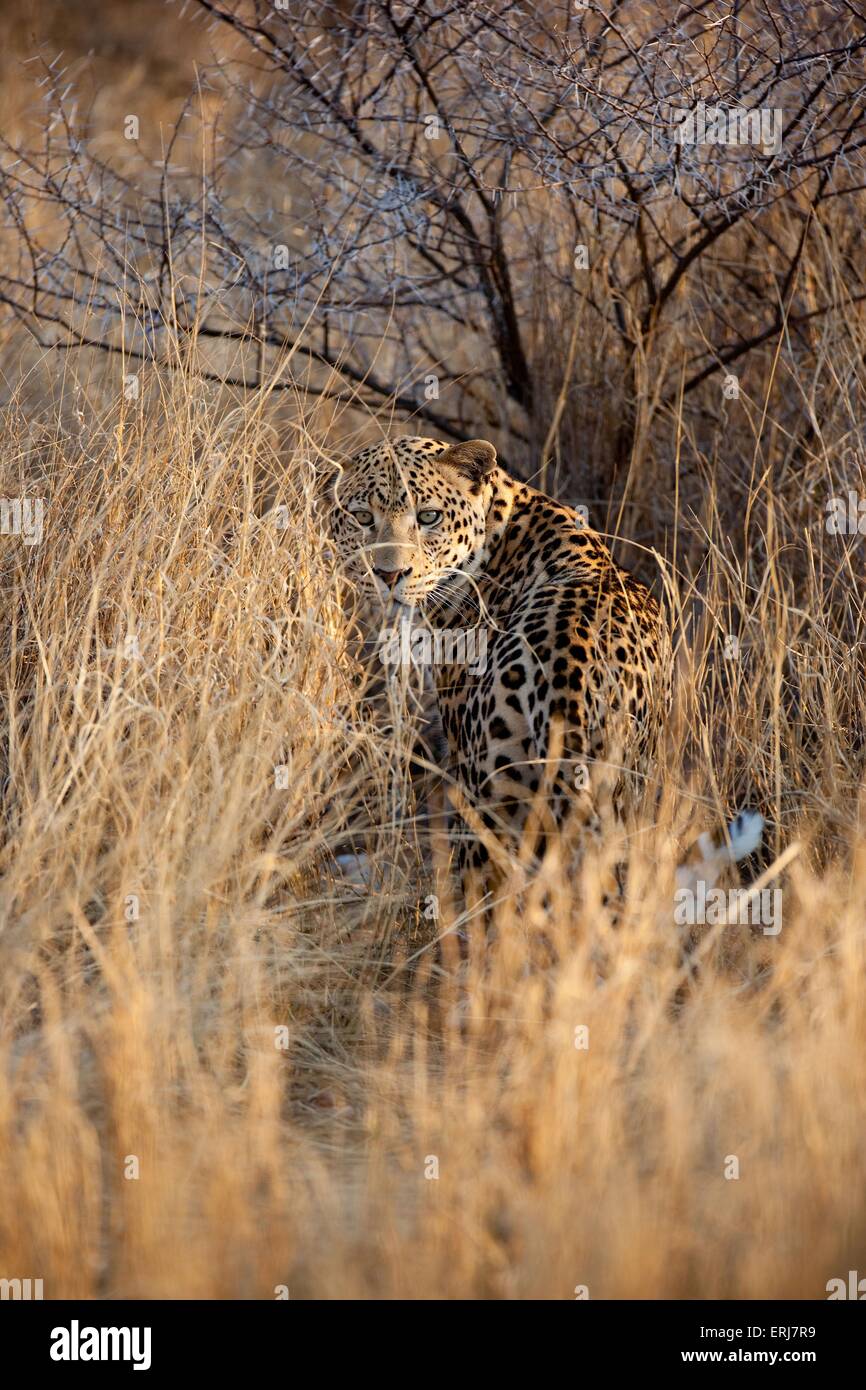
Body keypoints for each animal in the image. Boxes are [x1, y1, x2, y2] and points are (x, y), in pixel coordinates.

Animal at [328, 434, 684, 911]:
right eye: (363, 517)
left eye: (428, 516)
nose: (390, 574)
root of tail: (570, 672)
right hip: (621, 790)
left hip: (491, 799)